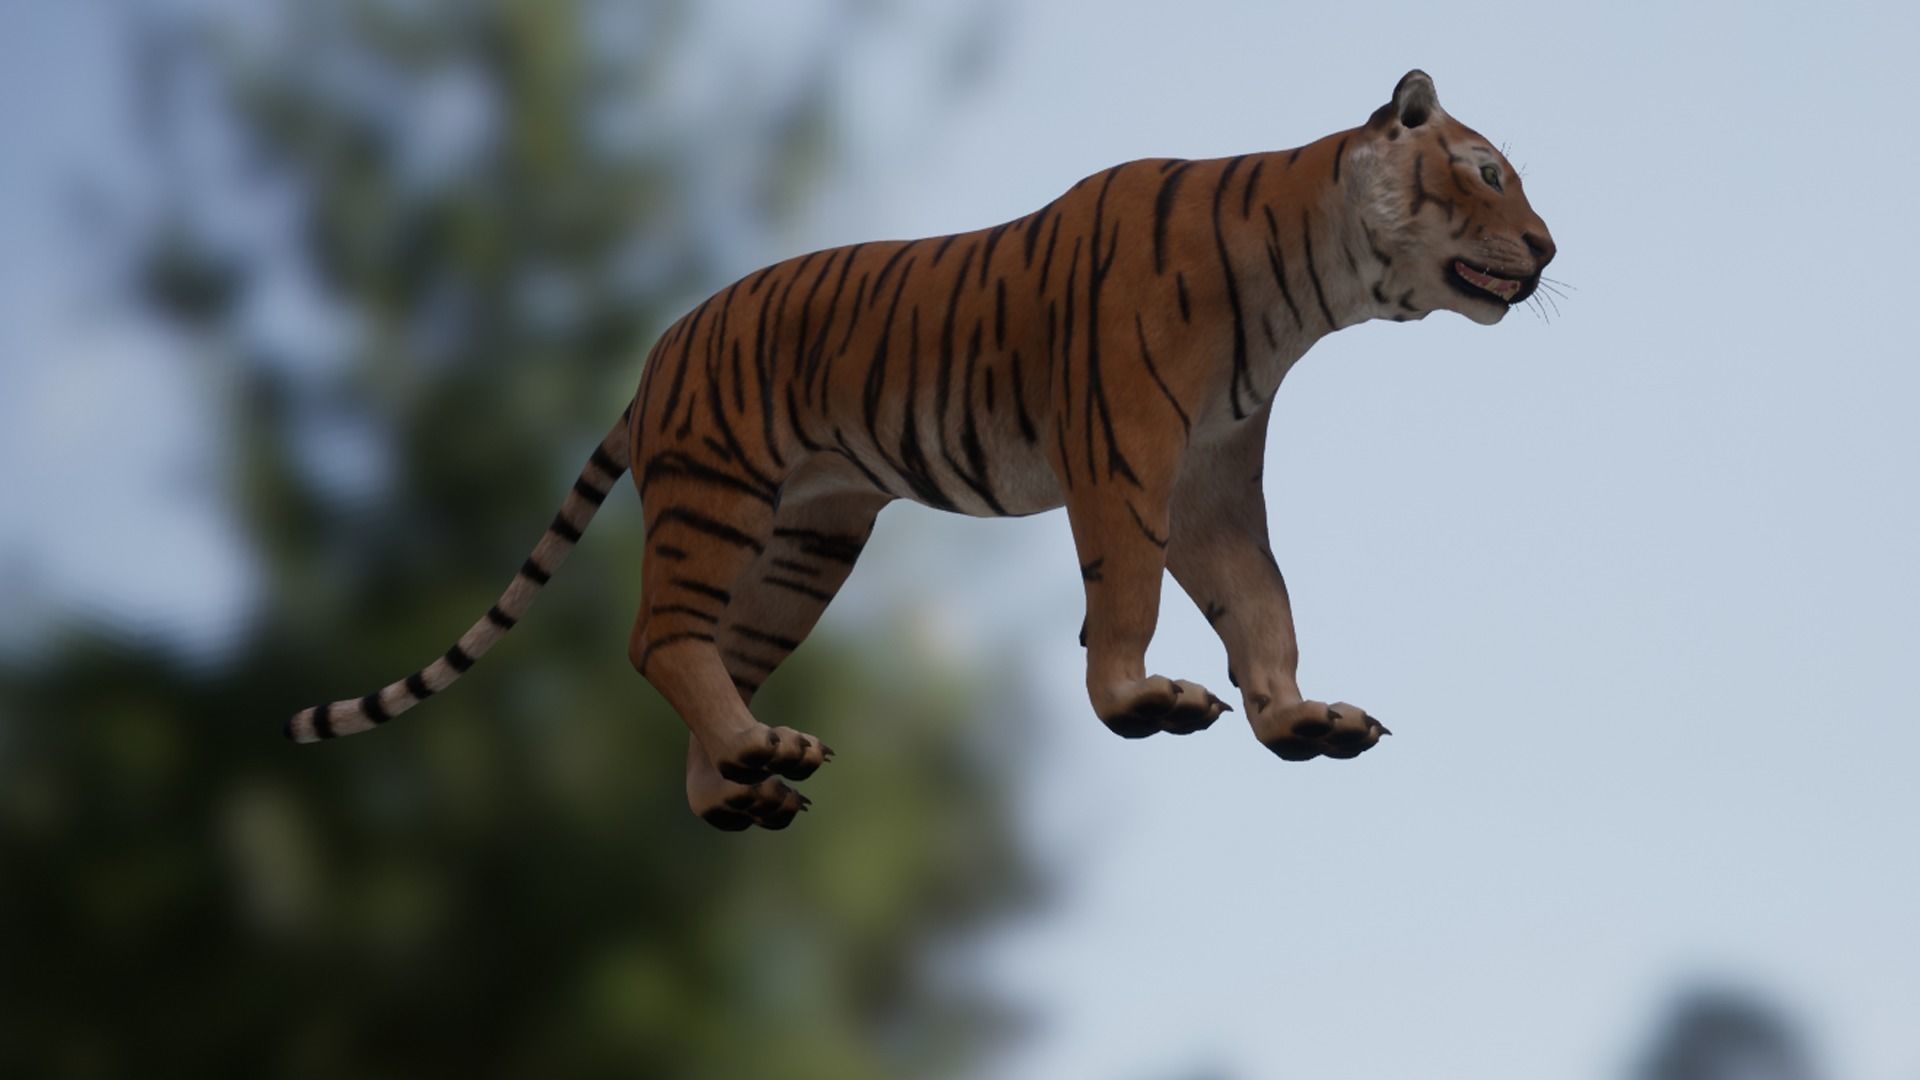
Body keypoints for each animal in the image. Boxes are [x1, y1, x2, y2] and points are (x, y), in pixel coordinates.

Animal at [288, 70, 1556, 832]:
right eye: (1487, 170)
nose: (1549, 248)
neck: (1316, 284)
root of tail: (654, 355)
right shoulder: (1125, 452)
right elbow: (1131, 591)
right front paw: (1139, 701)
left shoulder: (1213, 478)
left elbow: (1262, 603)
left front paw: (1302, 722)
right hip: (718, 499)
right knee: (659, 638)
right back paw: (748, 753)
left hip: (804, 542)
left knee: (718, 663)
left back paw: (746, 776)